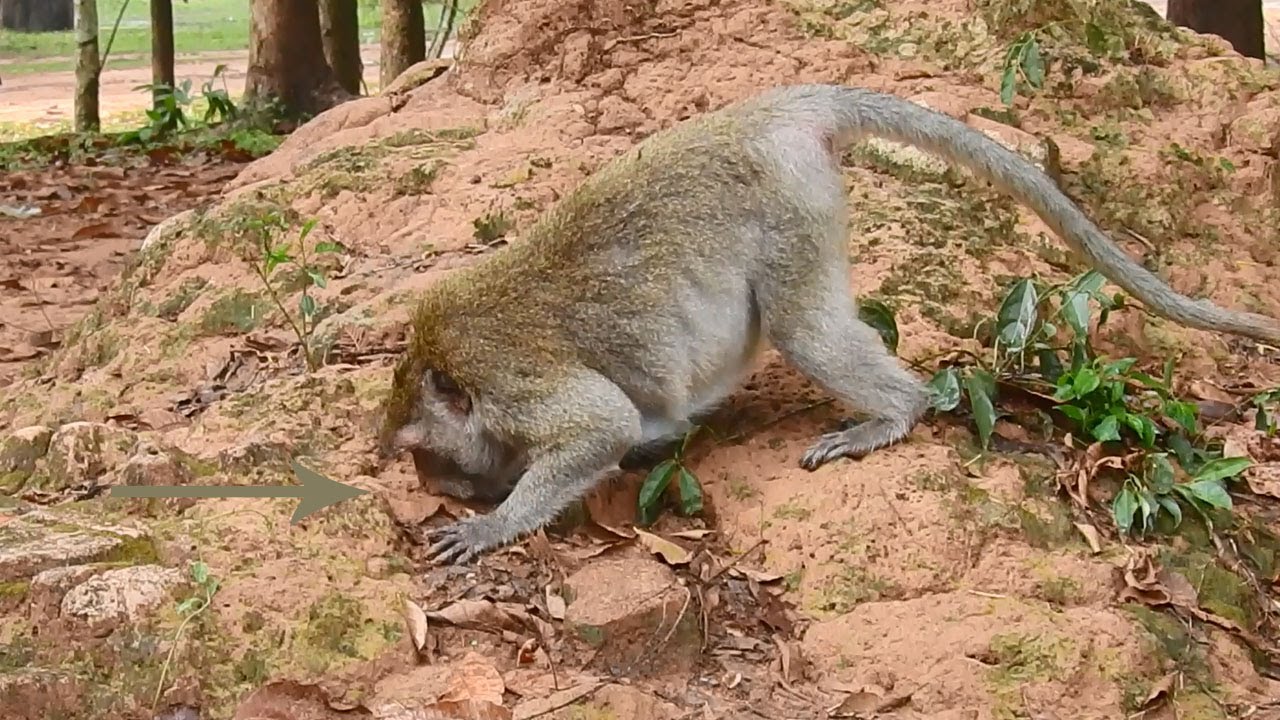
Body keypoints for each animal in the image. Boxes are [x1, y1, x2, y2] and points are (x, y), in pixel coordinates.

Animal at [378, 83, 1280, 564]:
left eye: (425, 452)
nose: (436, 490)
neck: (443, 359)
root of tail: (769, 111)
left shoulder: (506, 378)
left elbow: (602, 425)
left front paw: (495, 523)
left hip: (792, 205)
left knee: (803, 328)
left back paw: (896, 411)